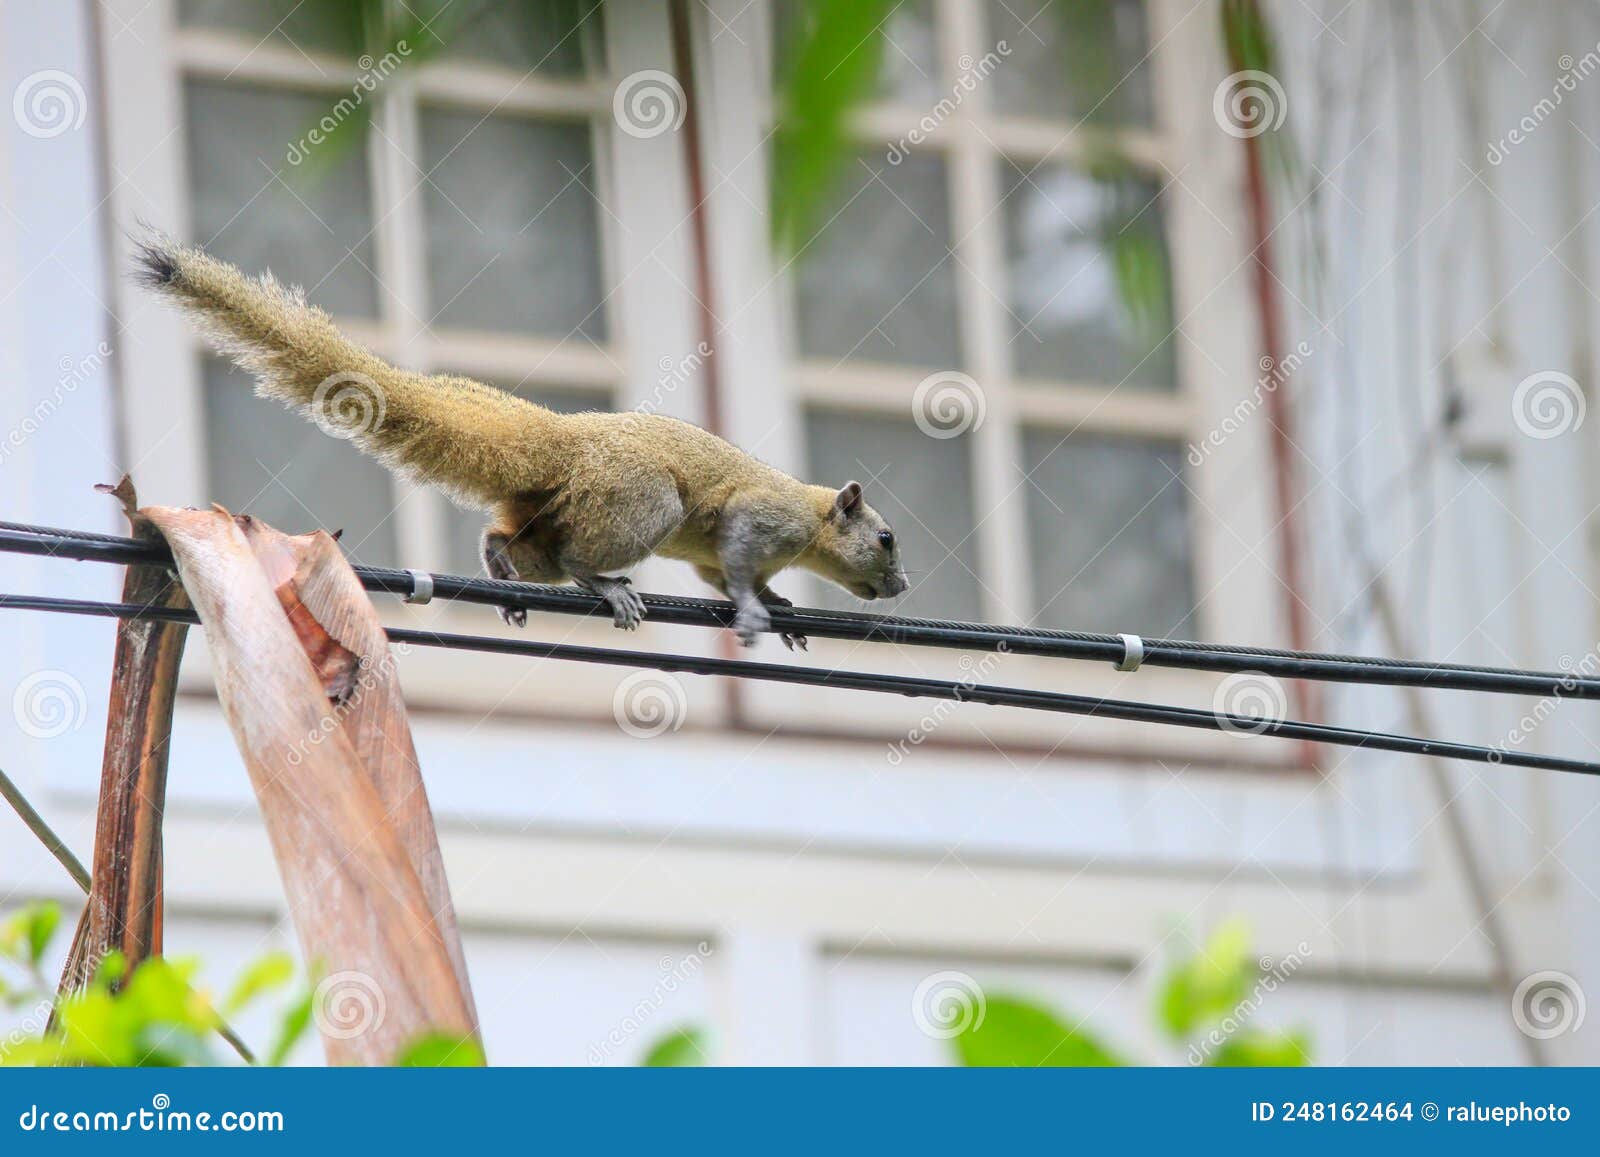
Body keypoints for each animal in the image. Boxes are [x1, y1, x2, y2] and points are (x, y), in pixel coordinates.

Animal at [133, 238, 910, 647]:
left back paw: (503, 570)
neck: (812, 519)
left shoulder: (726, 553)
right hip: (637, 501)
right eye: (886, 538)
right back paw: (602, 584)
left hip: (550, 510)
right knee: (576, 555)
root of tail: (568, 442)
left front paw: (782, 609)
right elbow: (739, 559)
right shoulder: (767, 517)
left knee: (514, 541)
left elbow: (720, 572)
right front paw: (757, 611)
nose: (901, 585)